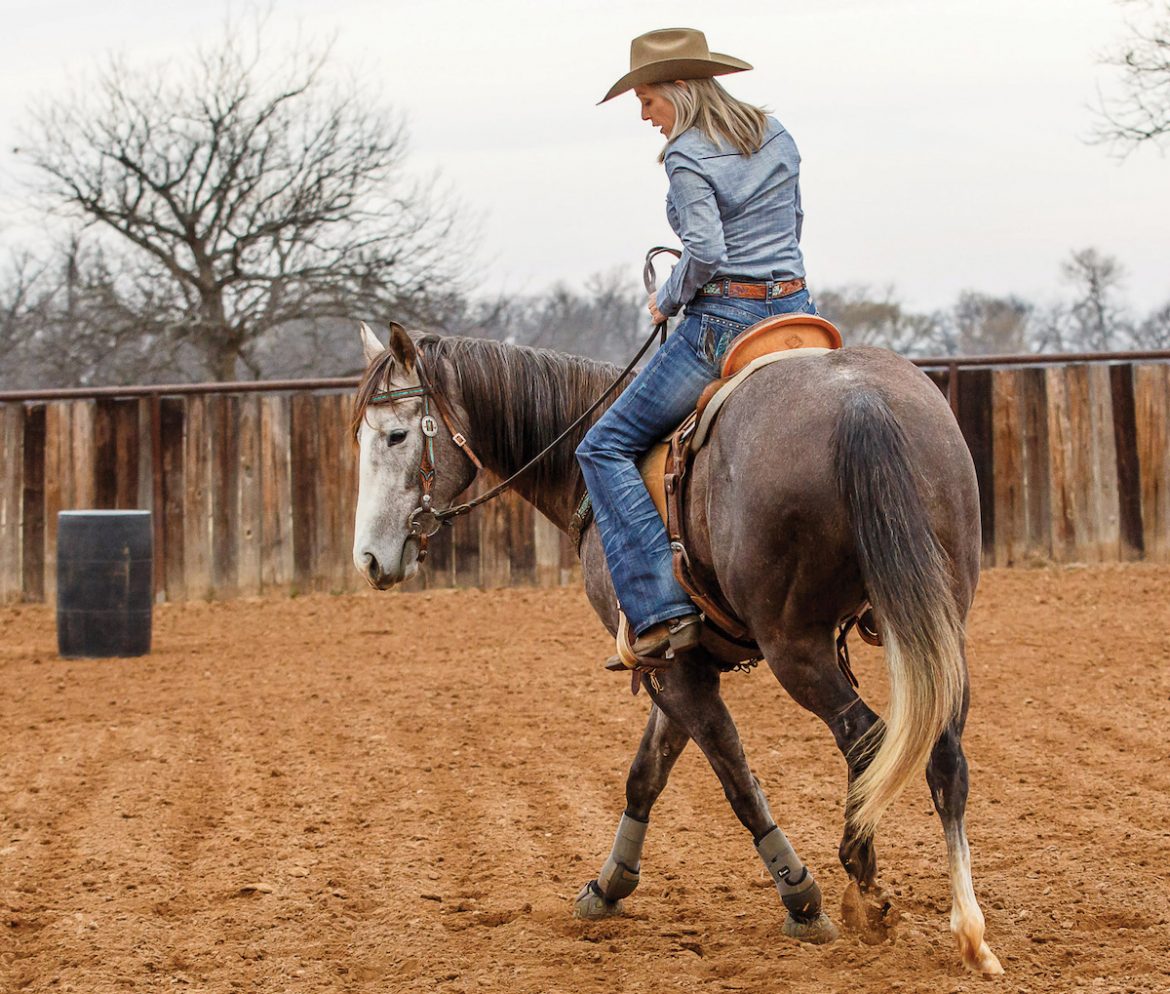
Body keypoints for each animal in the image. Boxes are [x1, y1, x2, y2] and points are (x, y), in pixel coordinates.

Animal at [349, 321, 1003, 976]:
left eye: (397, 434)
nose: (370, 559)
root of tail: (861, 401)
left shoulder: (671, 666)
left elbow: (734, 778)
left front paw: (802, 900)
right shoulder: (677, 659)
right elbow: (648, 771)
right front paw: (609, 884)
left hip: (796, 644)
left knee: (865, 740)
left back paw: (863, 885)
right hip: (940, 619)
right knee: (945, 755)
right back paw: (969, 929)